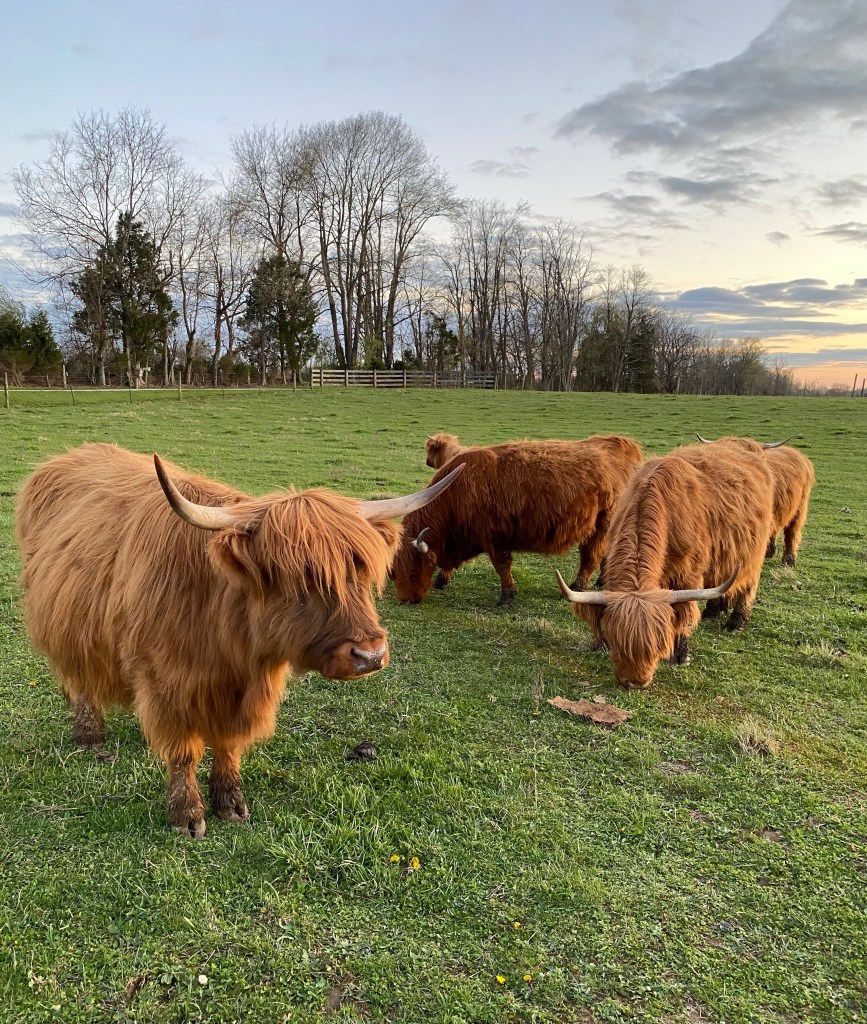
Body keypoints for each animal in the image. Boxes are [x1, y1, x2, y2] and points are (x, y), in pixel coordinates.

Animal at [16, 443, 463, 838]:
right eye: (302, 578)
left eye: (360, 570)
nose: (369, 654)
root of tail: (59, 461)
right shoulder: (166, 681)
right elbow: (184, 751)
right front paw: (187, 816)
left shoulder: (245, 692)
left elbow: (228, 745)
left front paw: (230, 804)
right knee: (77, 678)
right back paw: (88, 734)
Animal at [391, 434, 644, 606]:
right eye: (393, 572)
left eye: (412, 569)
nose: (406, 599)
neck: (460, 490)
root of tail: (621, 444)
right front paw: (442, 580)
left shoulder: (494, 538)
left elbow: (502, 566)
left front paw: (506, 597)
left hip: (602, 525)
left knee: (590, 556)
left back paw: (577, 587)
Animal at [557, 442, 775, 689]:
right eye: (615, 640)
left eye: (659, 644)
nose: (636, 682)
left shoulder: (689, 574)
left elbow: (685, 612)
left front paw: (681, 654)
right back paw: (713, 610)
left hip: (753, 552)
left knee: (748, 586)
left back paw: (735, 623)